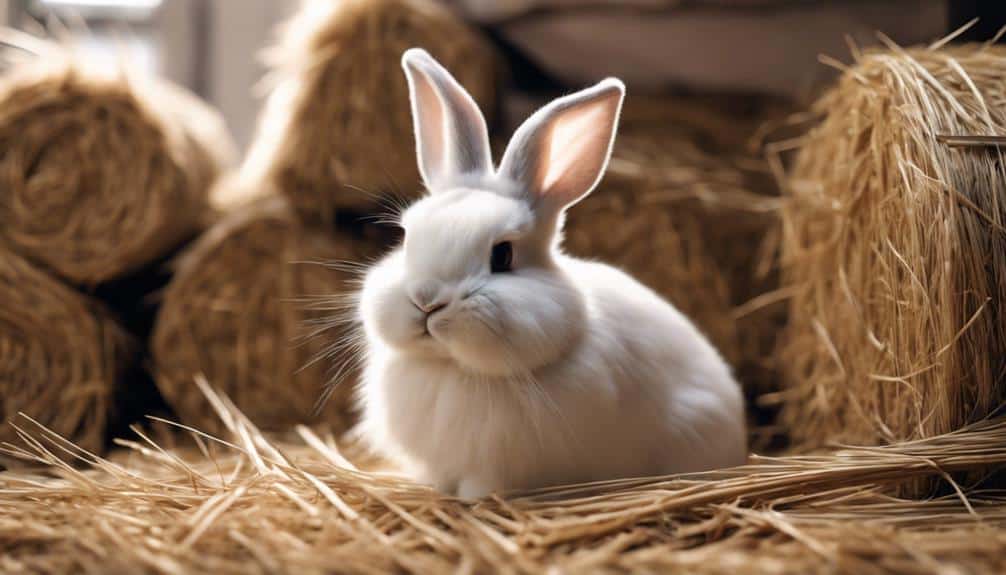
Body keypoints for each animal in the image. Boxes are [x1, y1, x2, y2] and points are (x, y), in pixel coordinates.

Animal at [354, 48, 747, 500]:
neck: (452, 367)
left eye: (503, 255)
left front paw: (471, 499)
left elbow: (481, 484)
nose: (426, 300)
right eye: (406, 237)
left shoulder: (502, 465)